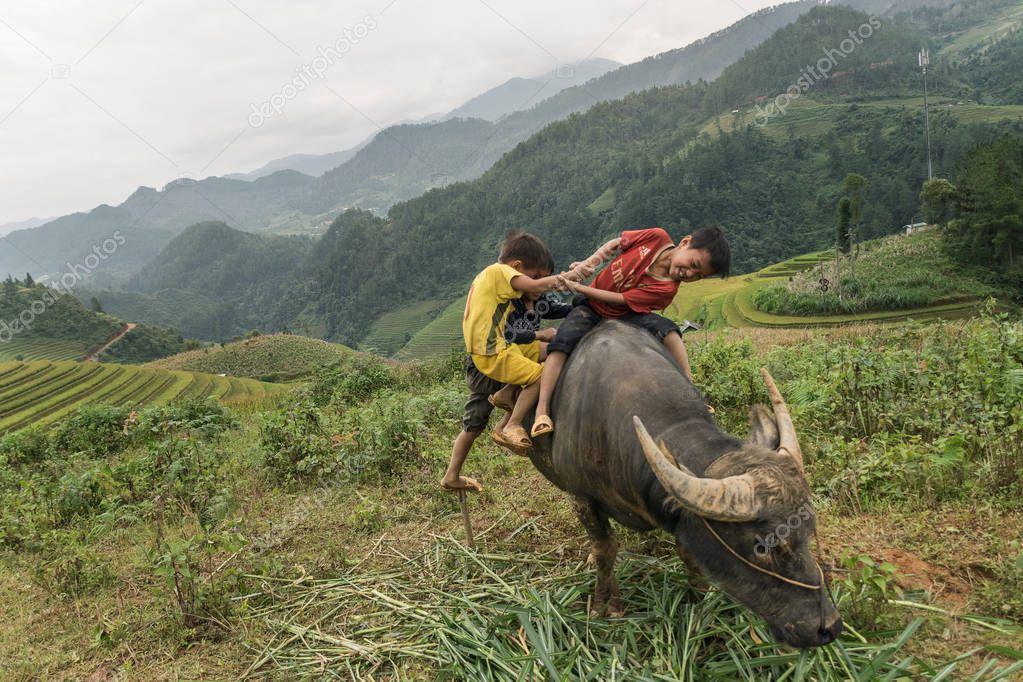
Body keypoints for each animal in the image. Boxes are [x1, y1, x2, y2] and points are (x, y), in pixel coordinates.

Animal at [527, 319, 843, 649]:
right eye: (763, 546)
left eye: (808, 531)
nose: (828, 627)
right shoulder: (582, 497)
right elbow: (605, 550)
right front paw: (606, 604)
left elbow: (688, 553)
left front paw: (699, 599)